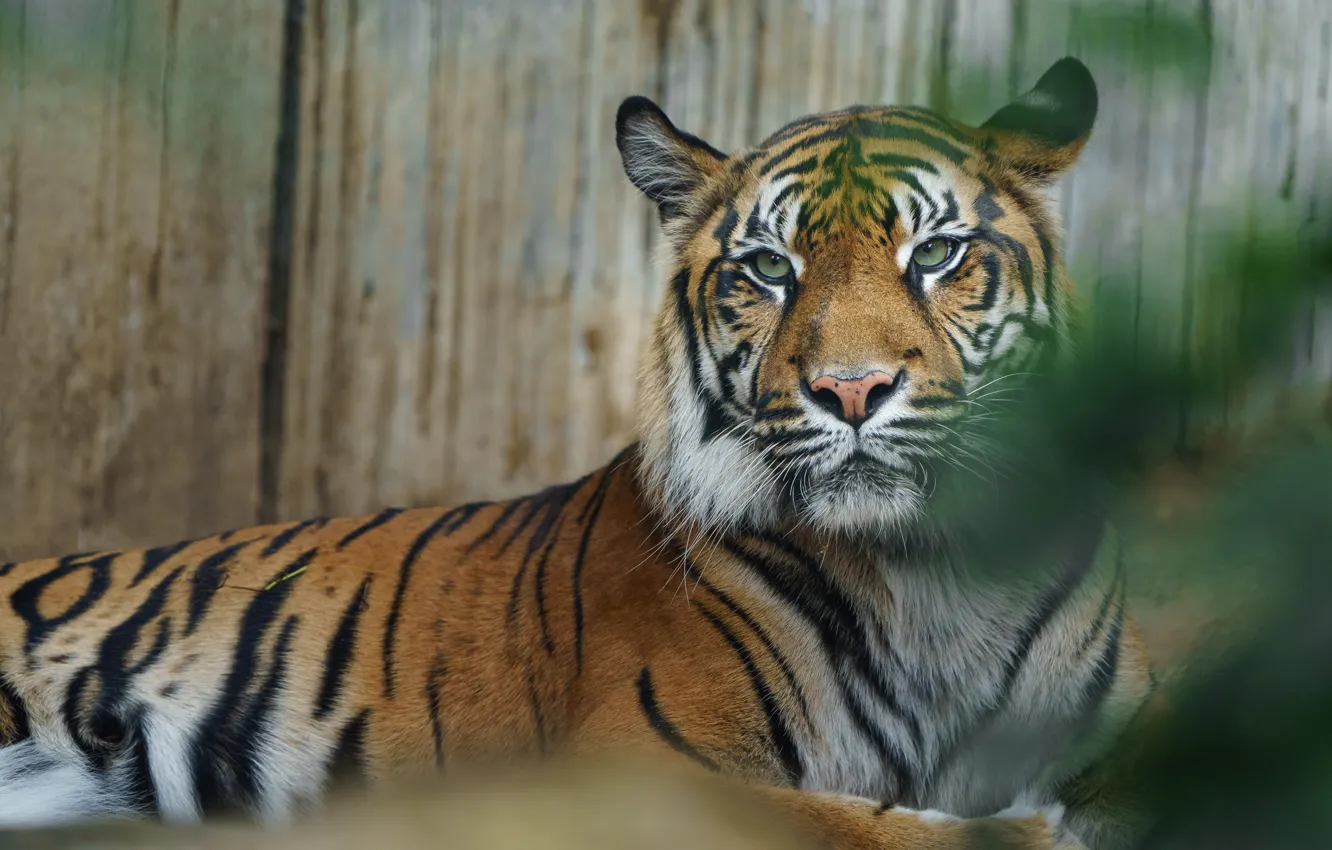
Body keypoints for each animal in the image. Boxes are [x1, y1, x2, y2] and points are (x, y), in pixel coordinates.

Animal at [0, 57, 1154, 849]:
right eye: (768, 269)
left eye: (939, 254)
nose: (851, 390)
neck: (932, 570)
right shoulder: (636, 765)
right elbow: (848, 823)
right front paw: (1028, 830)